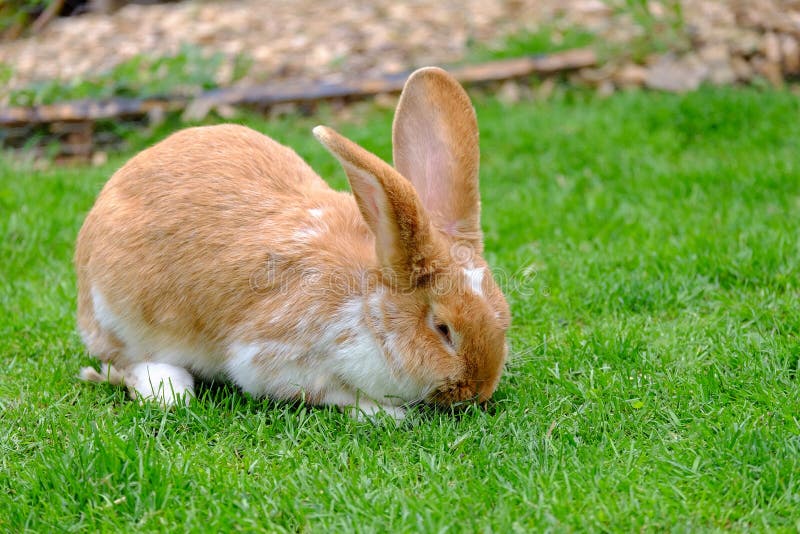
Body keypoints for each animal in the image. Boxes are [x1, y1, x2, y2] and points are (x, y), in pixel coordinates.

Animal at [75, 67, 511, 419]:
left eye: (503, 314)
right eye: (442, 328)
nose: (476, 392)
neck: (369, 308)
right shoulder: (272, 359)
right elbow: (335, 393)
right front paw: (385, 413)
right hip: (120, 318)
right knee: (124, 363)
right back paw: (167, 389)